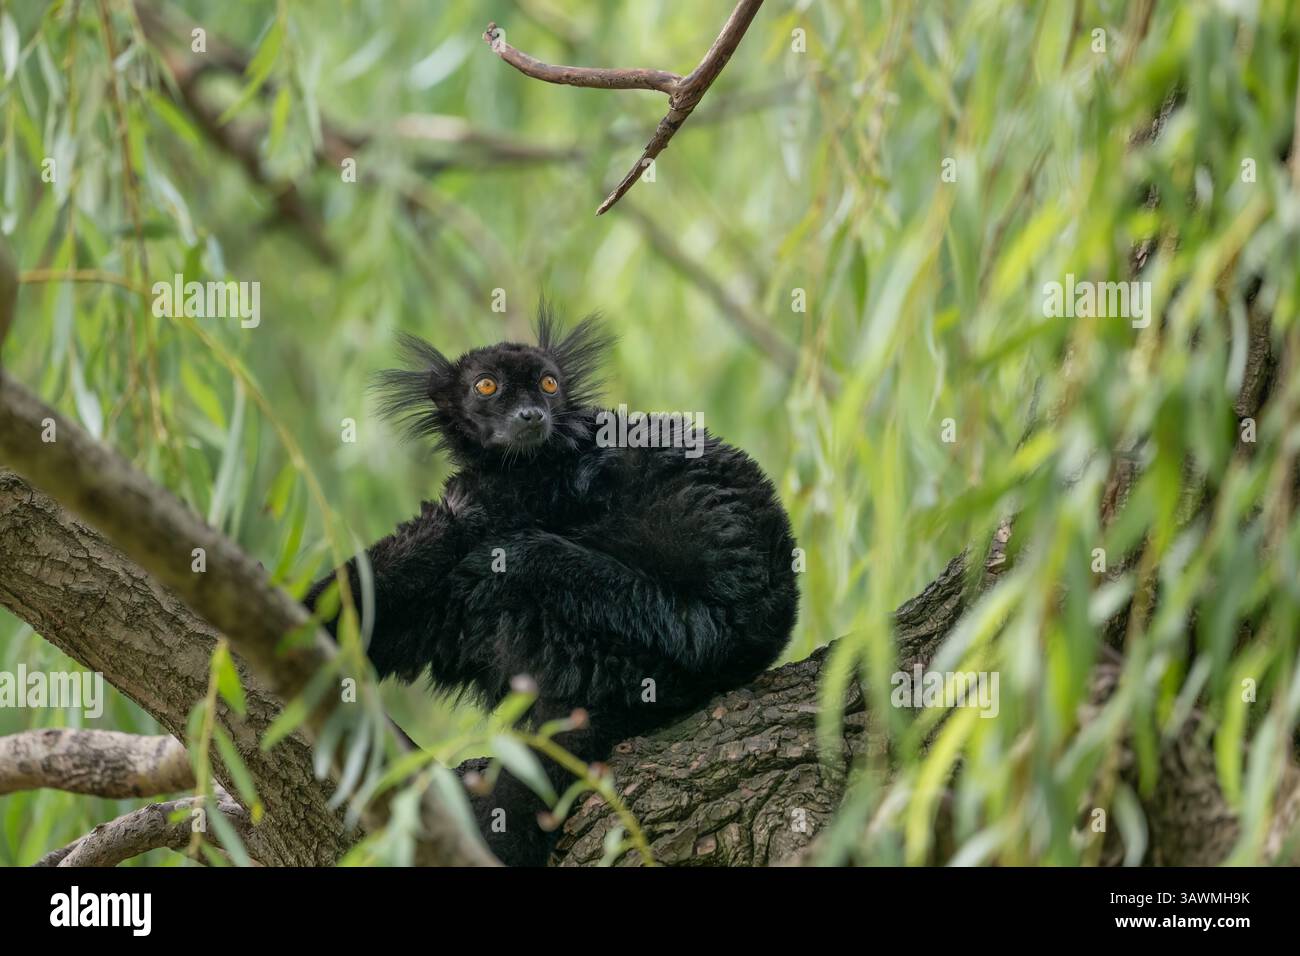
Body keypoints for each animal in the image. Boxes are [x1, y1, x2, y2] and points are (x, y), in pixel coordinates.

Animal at [305, 305, 799, 865]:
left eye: (547, 384)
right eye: (487, 386)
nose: (531, 417)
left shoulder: (534, 488)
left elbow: (440, 540)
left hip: (653, 631)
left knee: (502, 573)